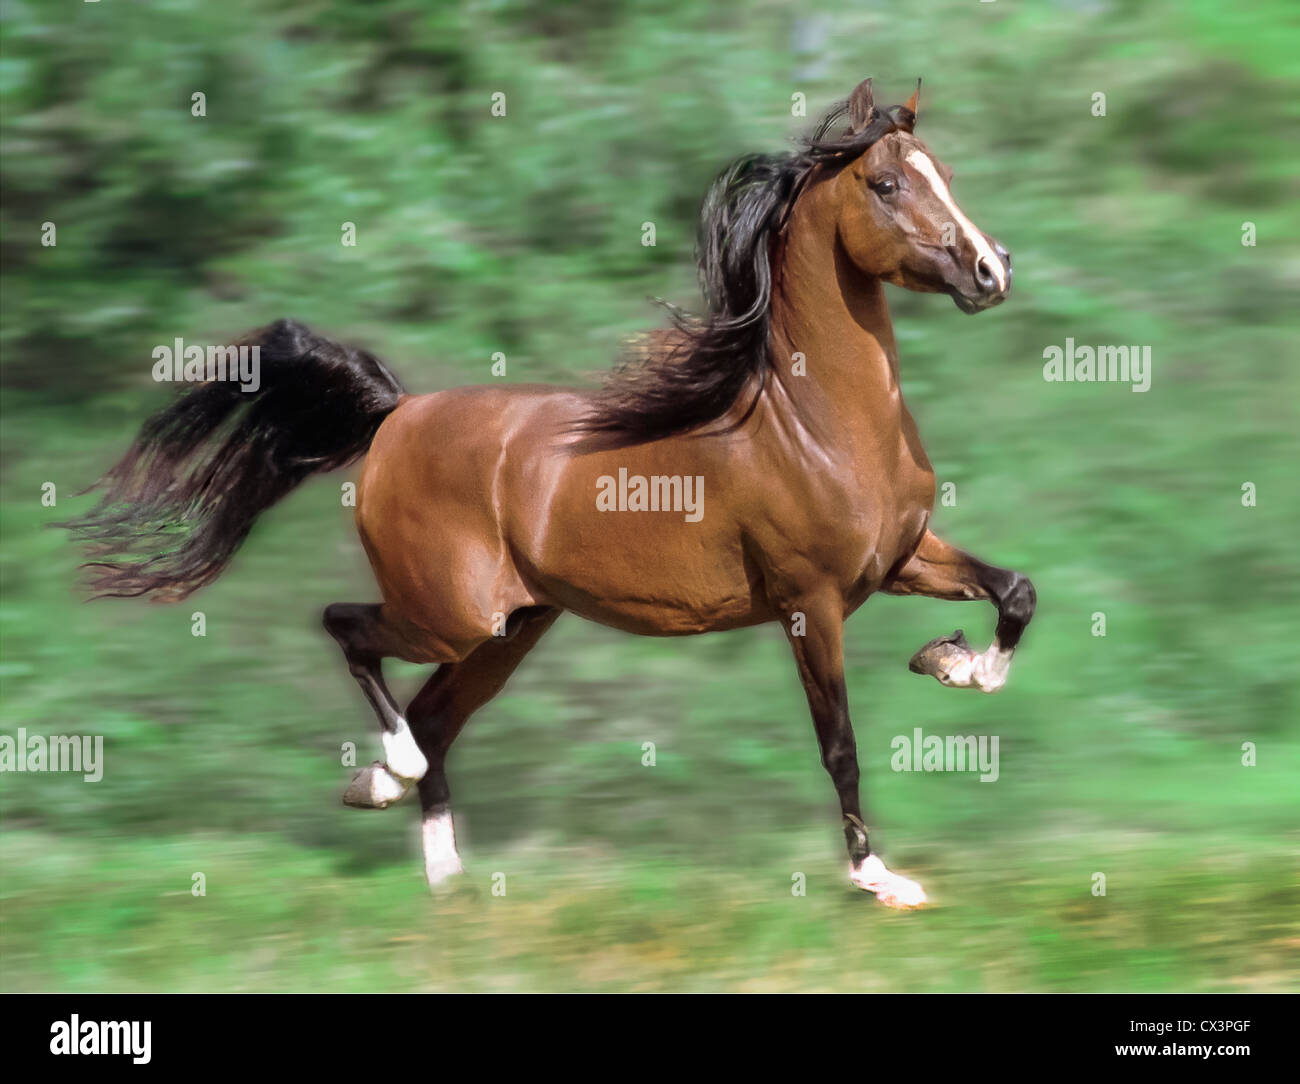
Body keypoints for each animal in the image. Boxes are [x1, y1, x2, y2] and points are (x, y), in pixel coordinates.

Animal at [63, 78, 1034, 909]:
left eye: (944, 173)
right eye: (884, 183)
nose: (993, 271)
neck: (815, 424)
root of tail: (396, 415)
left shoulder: (901, 559)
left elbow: (1015, 592)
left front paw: (951, 662)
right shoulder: (812, 602)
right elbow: (839, 743)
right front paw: (881, 880)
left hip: (510, 627)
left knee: (436, 716)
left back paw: (447, 879)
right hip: (451, 614)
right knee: (354, 638)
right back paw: (387, 776)